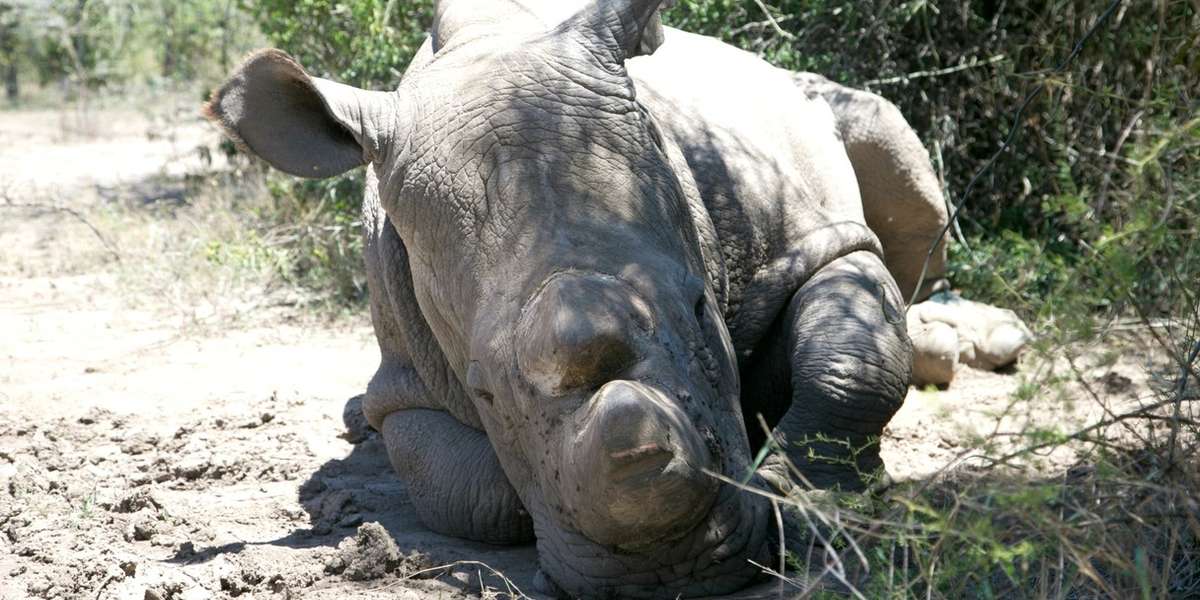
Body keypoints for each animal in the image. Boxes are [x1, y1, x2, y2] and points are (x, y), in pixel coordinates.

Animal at [205, 0, 1029, 596]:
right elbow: (476, 488)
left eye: (699, 311)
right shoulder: (408, 385)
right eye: (483, 389)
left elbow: (853, 362)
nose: (672, 576)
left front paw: (802, 502)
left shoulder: (817, 239)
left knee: (897, 170)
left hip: (814, 101)